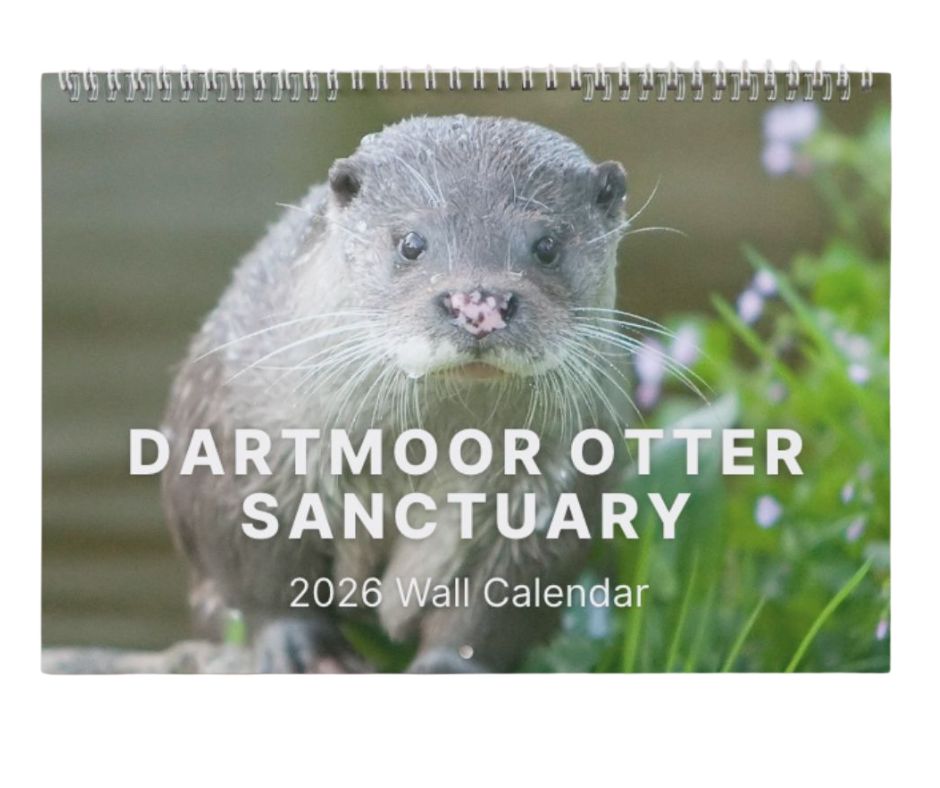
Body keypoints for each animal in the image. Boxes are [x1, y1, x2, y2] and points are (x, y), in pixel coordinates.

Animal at [162, 115, 634, 672]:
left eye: (547, 246)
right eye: (411, 242)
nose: (479, 304)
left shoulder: (551, 493)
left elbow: (498, 601)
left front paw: (450, 664)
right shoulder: (240, 441)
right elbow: (258, 569)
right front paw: (296, 642)